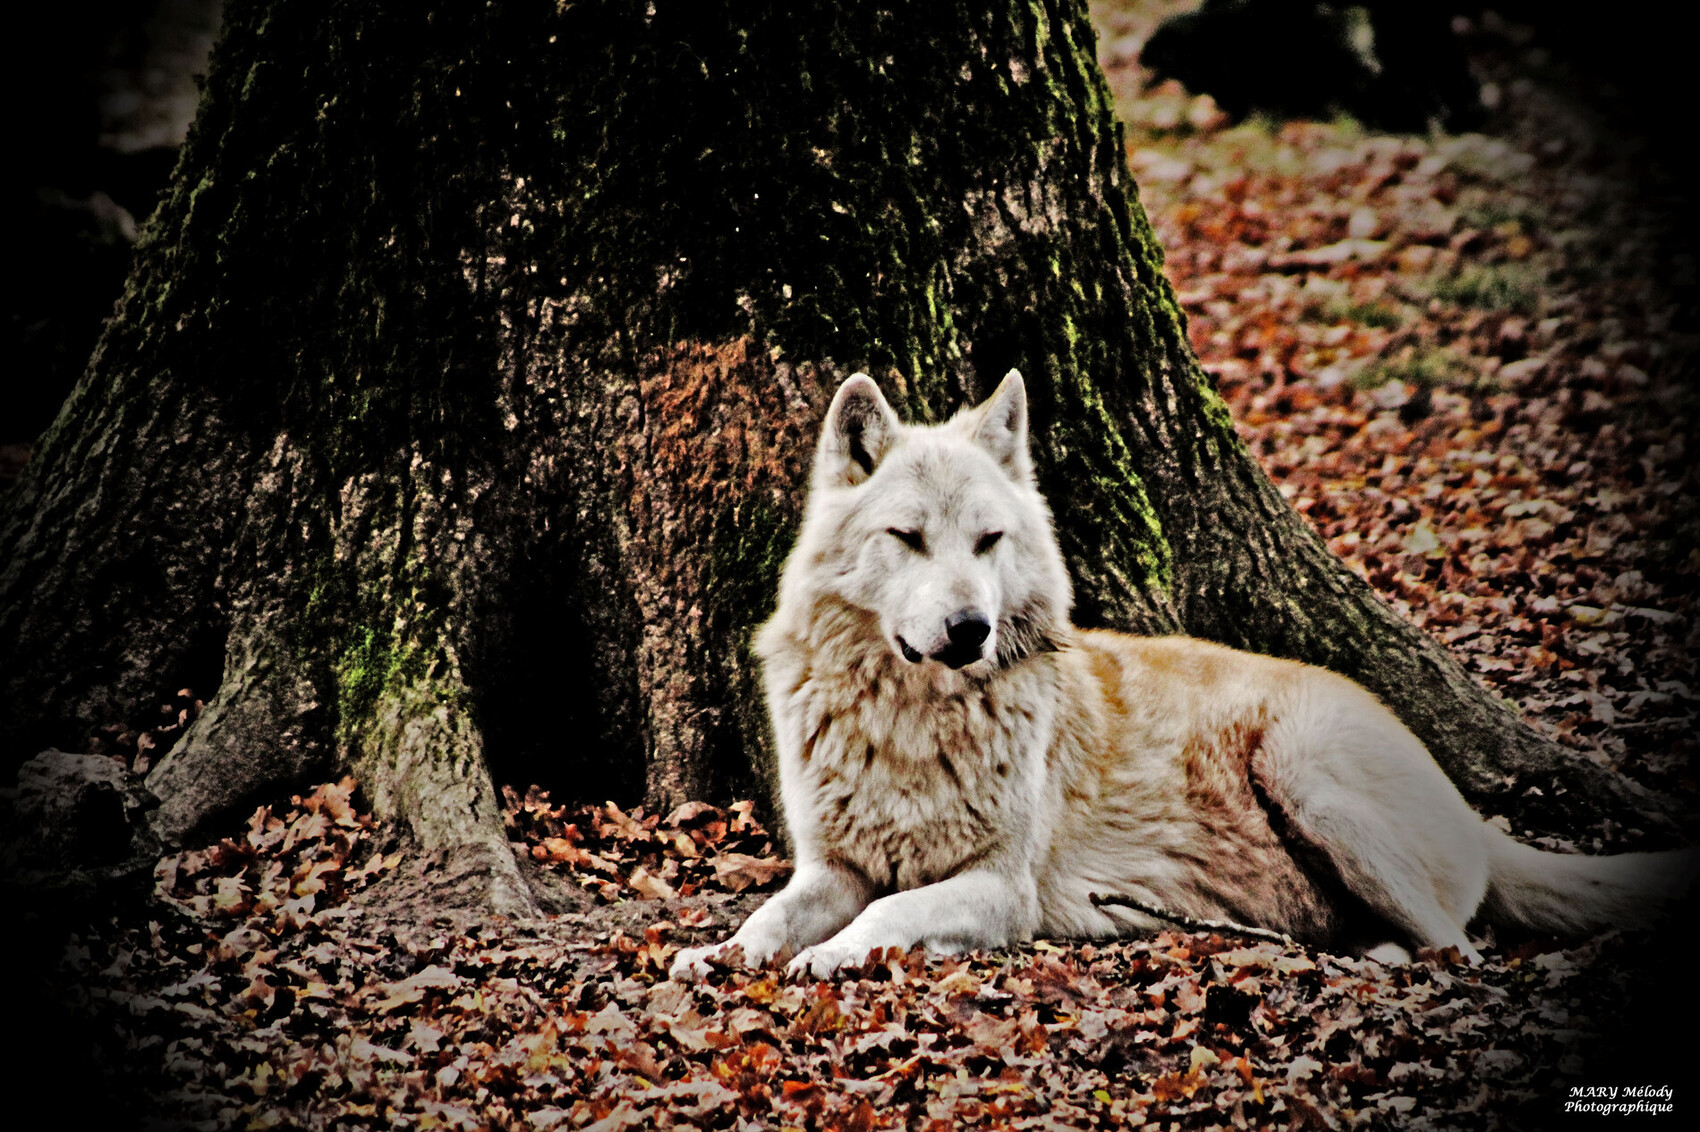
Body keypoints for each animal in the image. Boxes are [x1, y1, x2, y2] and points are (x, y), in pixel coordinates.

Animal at [672, 370, 1695, 980]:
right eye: (909, 538)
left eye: (989, 541)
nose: (970, 630)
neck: (912, 723)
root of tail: (1473, 813)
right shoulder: (830, 865)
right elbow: (773, 914)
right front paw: (720, 952)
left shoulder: (999, 889)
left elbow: (886, 915)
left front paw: (827, 960)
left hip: (1306, 773)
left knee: (1459, 948)